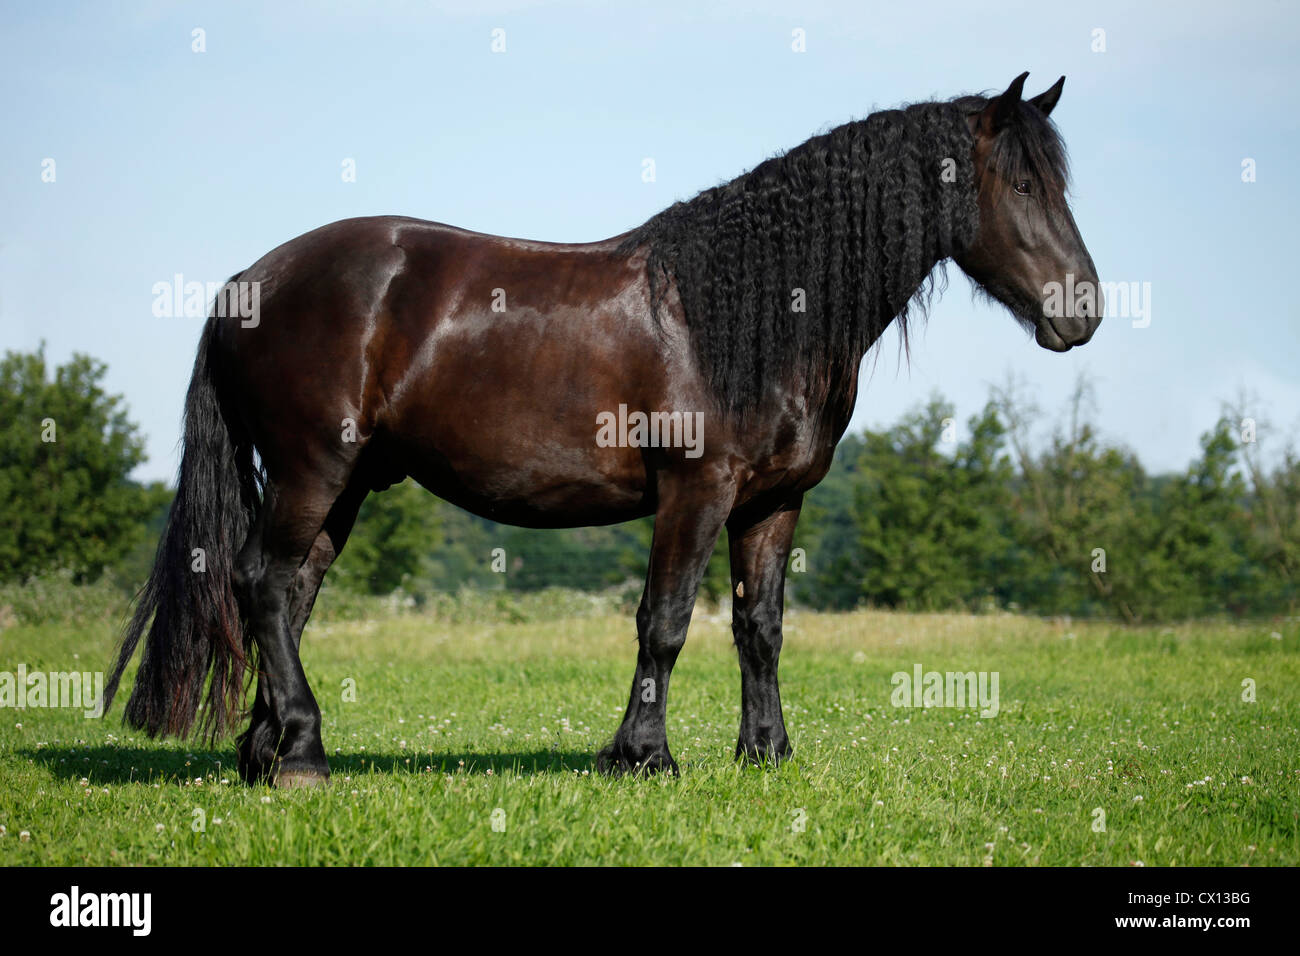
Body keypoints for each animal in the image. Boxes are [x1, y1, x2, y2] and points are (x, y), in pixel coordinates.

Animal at [104, 72, 1101, 787]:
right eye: (1019, 181)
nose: (1082, 310)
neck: (745, 313)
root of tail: (251, 278)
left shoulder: (773, 504)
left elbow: (762, 627)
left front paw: (765, 753)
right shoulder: (696, 490)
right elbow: (665, 621)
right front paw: (642, 755)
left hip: (344, 482)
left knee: (291, 590)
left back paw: (267, 751)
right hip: (312, 468)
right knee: (262, 583)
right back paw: (302, 754)